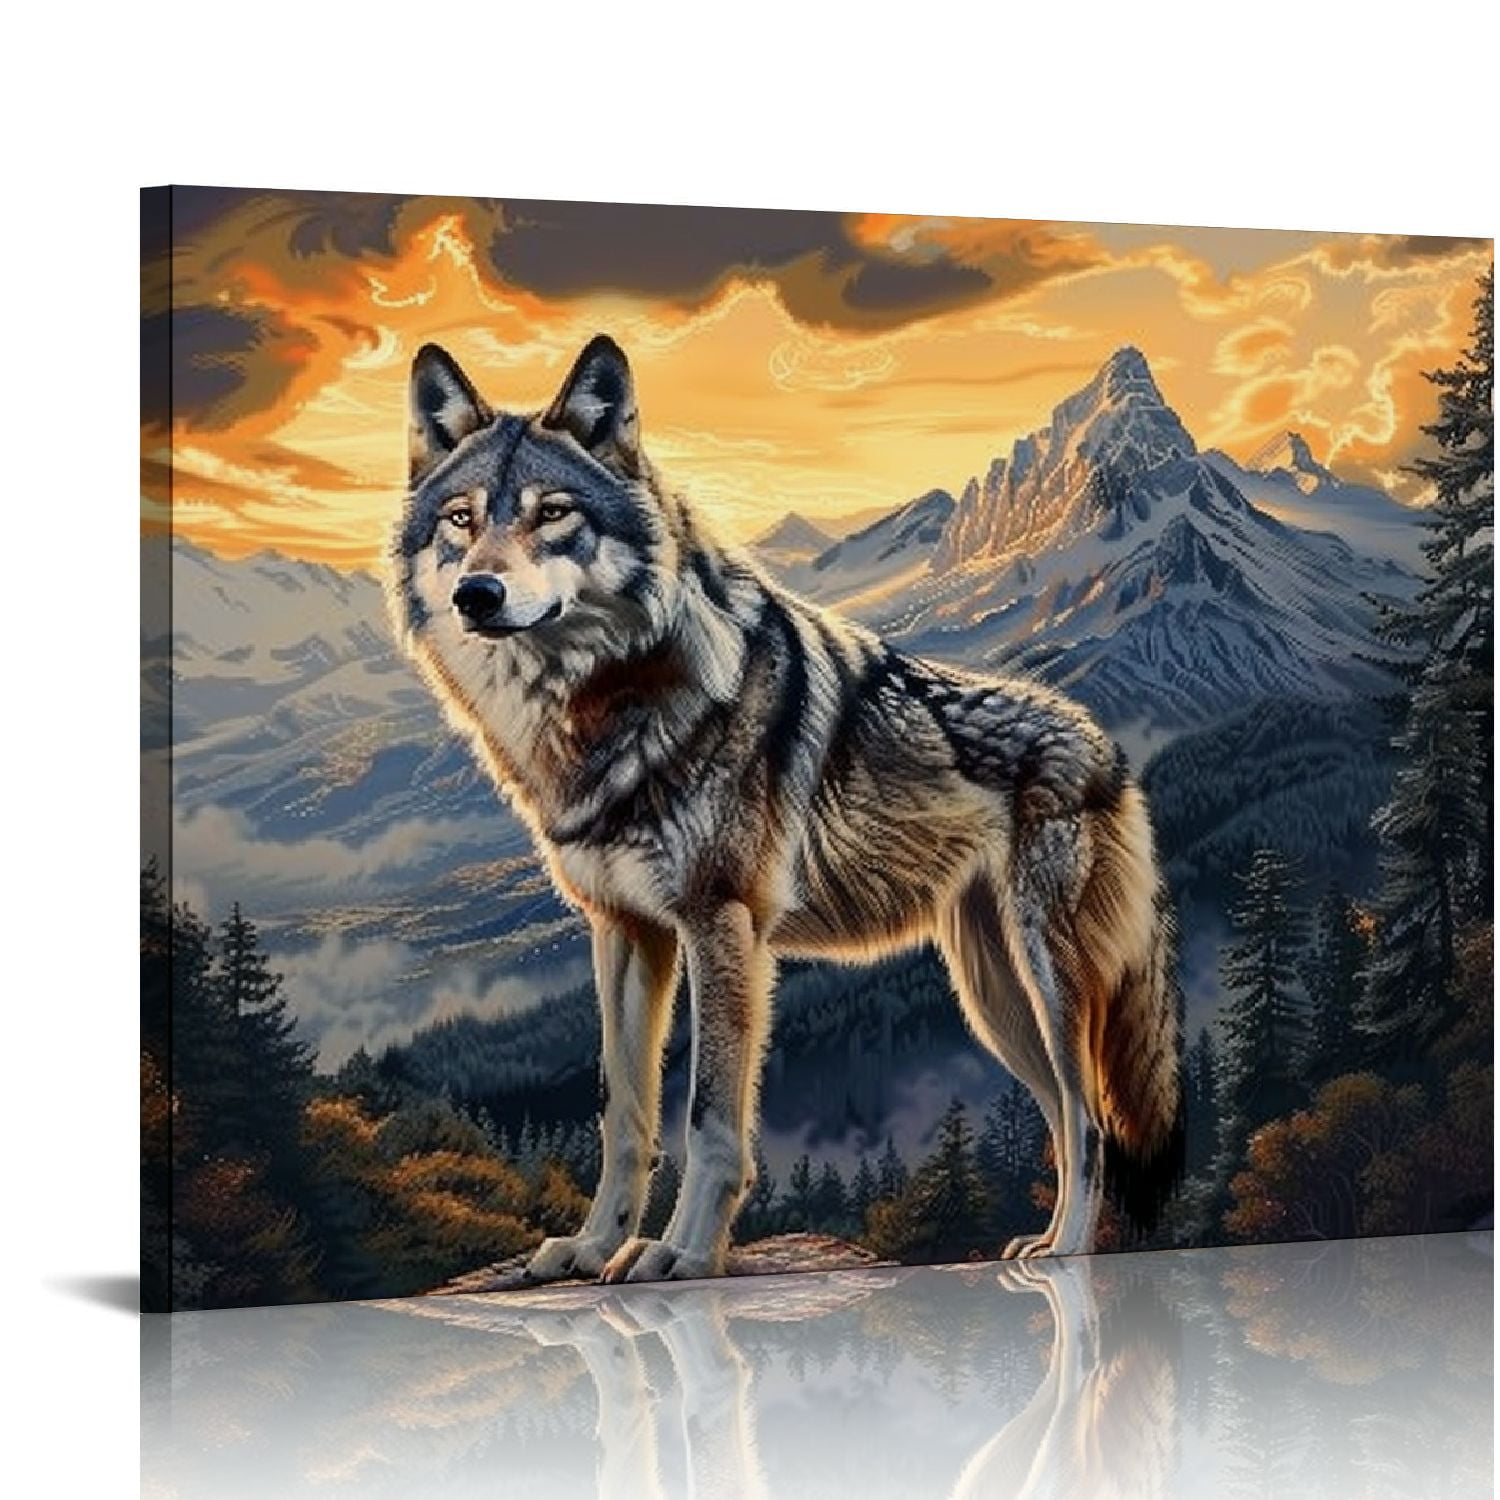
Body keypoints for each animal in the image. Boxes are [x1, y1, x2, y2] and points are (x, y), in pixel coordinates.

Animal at [388, 333, 1184, 1284]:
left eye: (552, 514)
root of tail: (1107, 745)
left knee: (1091, 1114)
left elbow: (710, 1118)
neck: (599, 707)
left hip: (1048, 984)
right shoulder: (623, 929)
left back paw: (1068, 1253)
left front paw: (682, 1254)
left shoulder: (720, 924)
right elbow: (624, 1114)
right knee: (1063, 1116)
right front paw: (594, 1248)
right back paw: (1040, 1243)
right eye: (461, 520)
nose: (477, 594)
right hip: (991, 999)